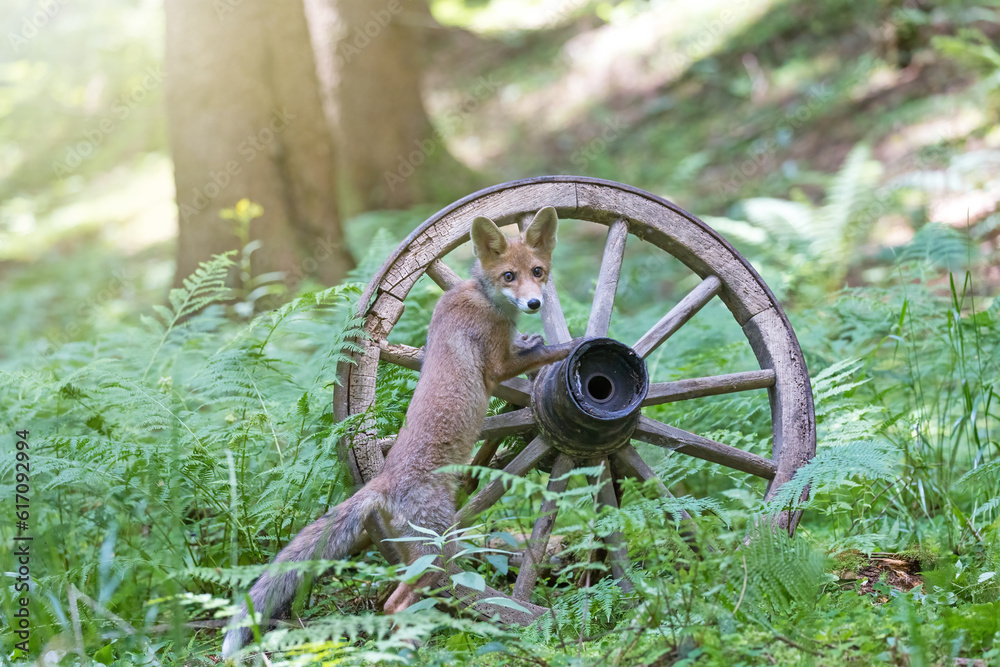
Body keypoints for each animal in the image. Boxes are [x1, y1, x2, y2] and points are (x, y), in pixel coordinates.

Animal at [222, 206, 581, 658]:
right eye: (509, 276)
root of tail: (383, 481)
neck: (480, 297)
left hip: (418, 553)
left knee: (398, 598)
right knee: (397, 602)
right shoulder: (497, 366)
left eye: (538, 271)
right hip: (439, 549)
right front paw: (579, 343)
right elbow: (546, 352)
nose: (535, 302)